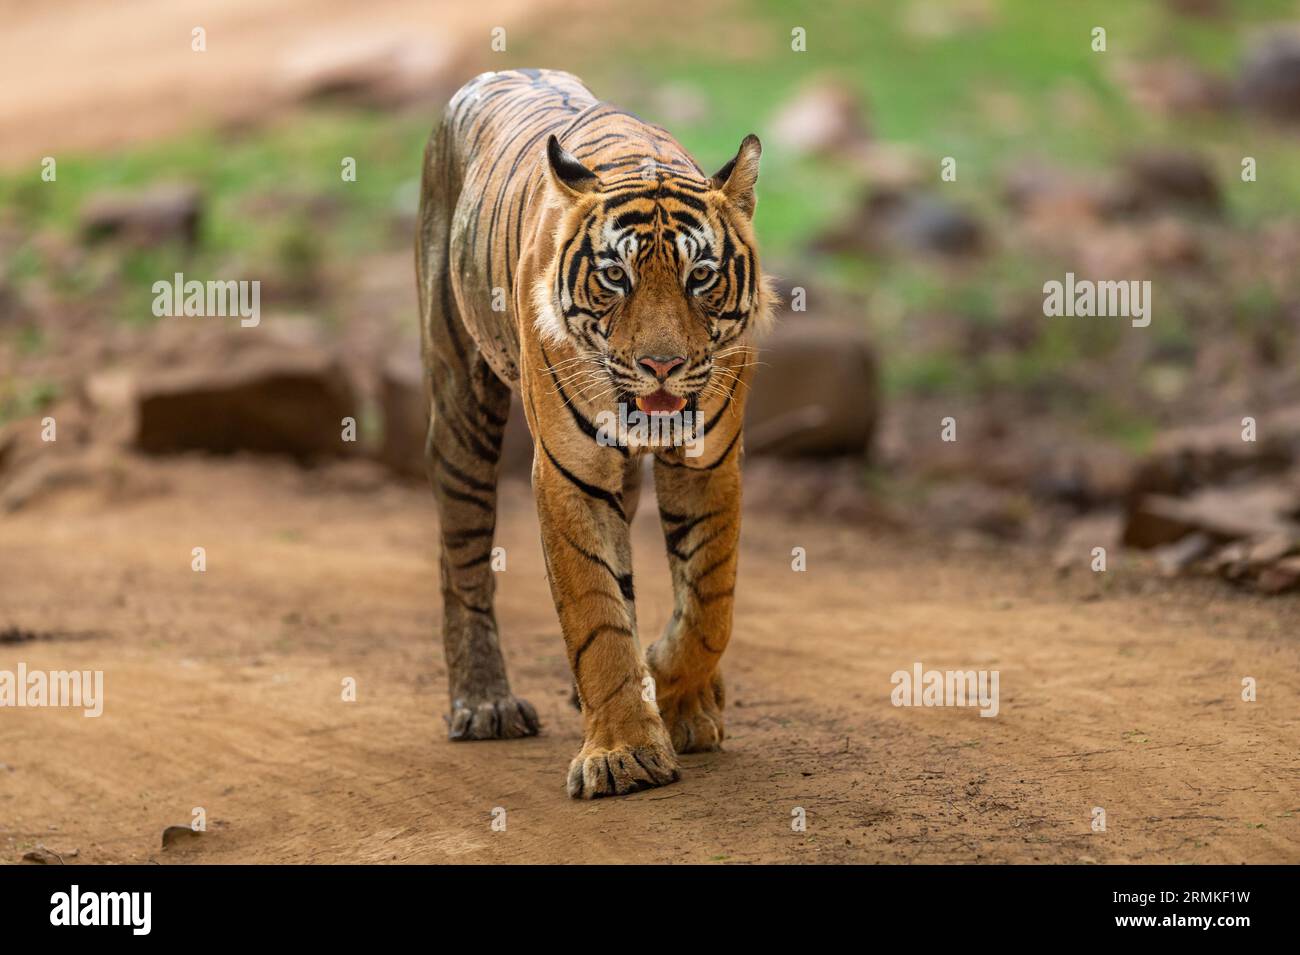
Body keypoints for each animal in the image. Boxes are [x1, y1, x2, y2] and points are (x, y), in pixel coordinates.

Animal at [416, 68, 773, 798]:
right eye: (616, 275)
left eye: (700, 275)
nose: (661, 364)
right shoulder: (569, 470)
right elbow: (596, 616)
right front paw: (623, 752)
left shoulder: (709, 464)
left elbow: (708, 605)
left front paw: (677, 693)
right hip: (460, 396)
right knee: (461, 556)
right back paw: (483, 703)